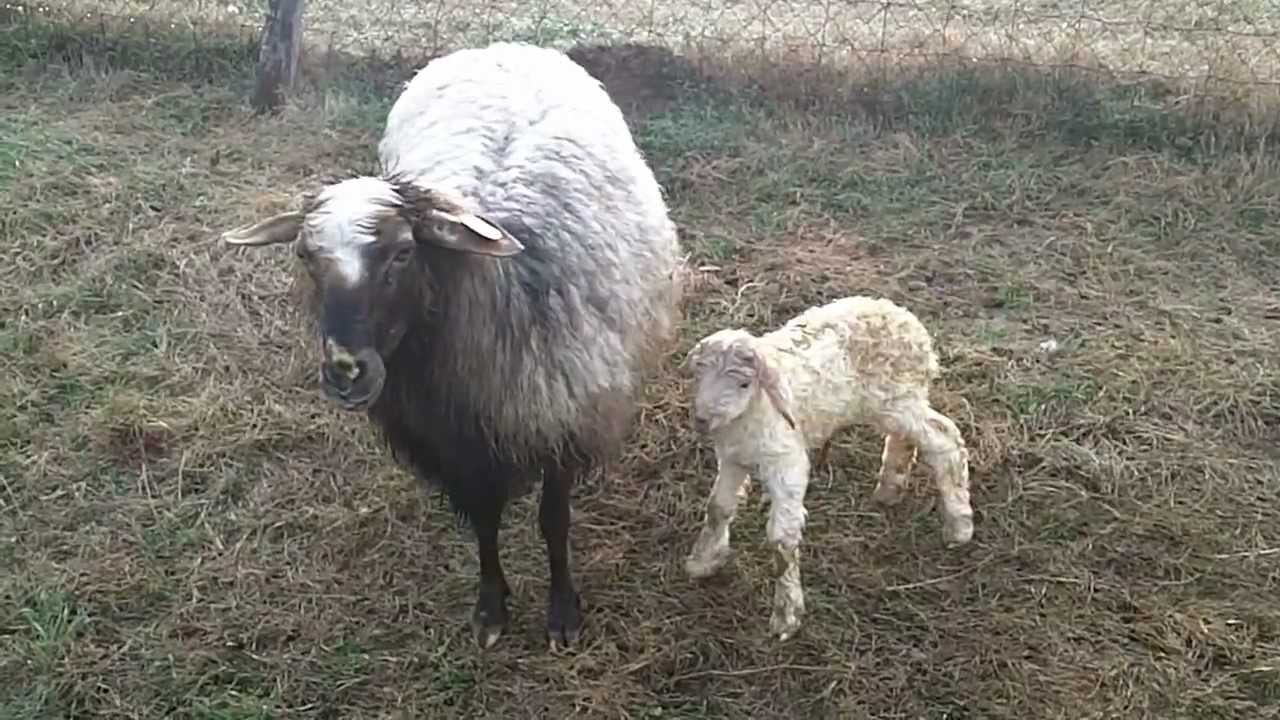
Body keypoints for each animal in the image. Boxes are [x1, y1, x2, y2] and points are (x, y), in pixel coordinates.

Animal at [220, 41, 683, 651]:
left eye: (402, 253)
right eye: (304, 256)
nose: (346, 370)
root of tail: (502, 46)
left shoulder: (563, 417)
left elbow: (553, 521)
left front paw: (562, 610)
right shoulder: (452, 442)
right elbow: (484, 517)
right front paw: (491, 607)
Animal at [682, 296, 973, 641]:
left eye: (743, 383)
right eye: (699, 375)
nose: (702, 419)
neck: (753, 411)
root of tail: (911, 325)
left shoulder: (787, 462)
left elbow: (781, 541)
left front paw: (786, 615)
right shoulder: (732, 458)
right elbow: (717, 508)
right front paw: (703, 561)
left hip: (899, 399)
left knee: (945, 440)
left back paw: (959, 526)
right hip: (892, 405)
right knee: (906, 437)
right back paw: (890, 489)